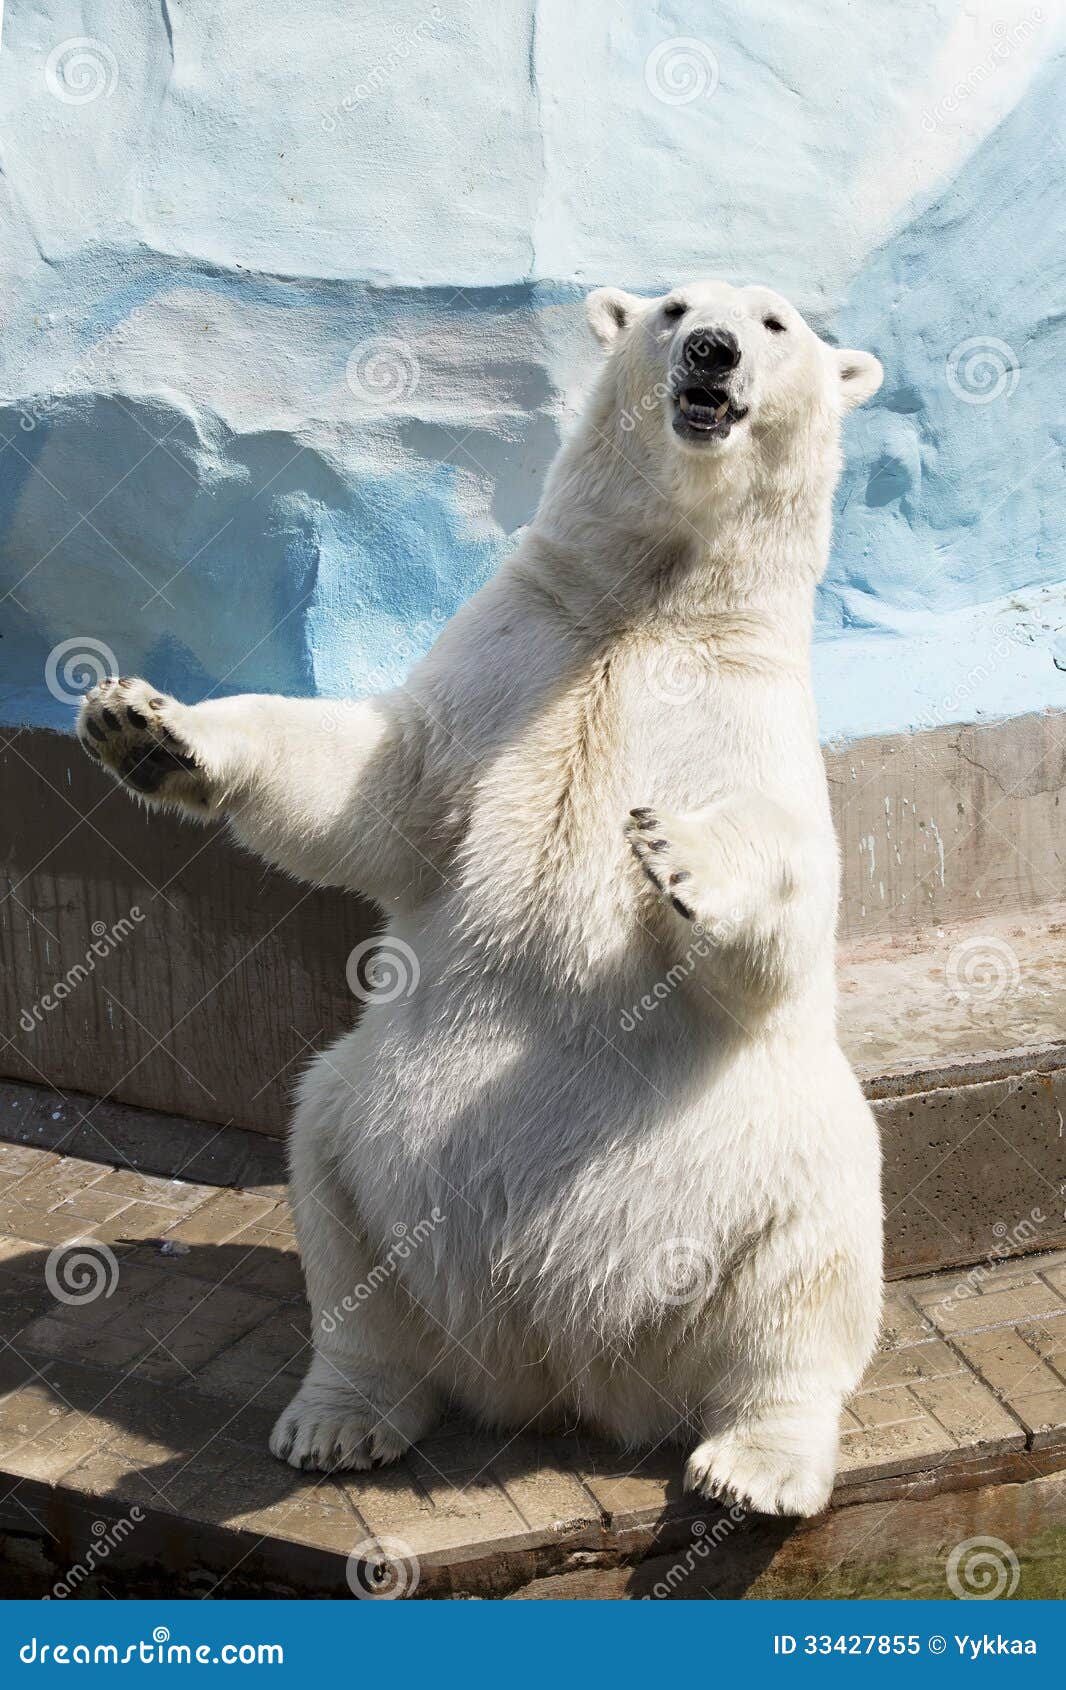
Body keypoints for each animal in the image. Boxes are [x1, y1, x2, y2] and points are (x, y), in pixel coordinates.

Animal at [77, 278, 885, 1517]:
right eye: (673, 306)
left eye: (776, 325)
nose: (710, 350)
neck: (654, 603)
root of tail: (568, 1373)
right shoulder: (519, 650)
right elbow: (379, 784)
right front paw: (146, 725)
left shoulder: (746, 711)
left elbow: (786, 917)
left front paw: (680, 852)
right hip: (371, 1135)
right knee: (332, 1199)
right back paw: (340, 1417)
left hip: (766, 1168)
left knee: (809, 1278)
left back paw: (754, 1463)